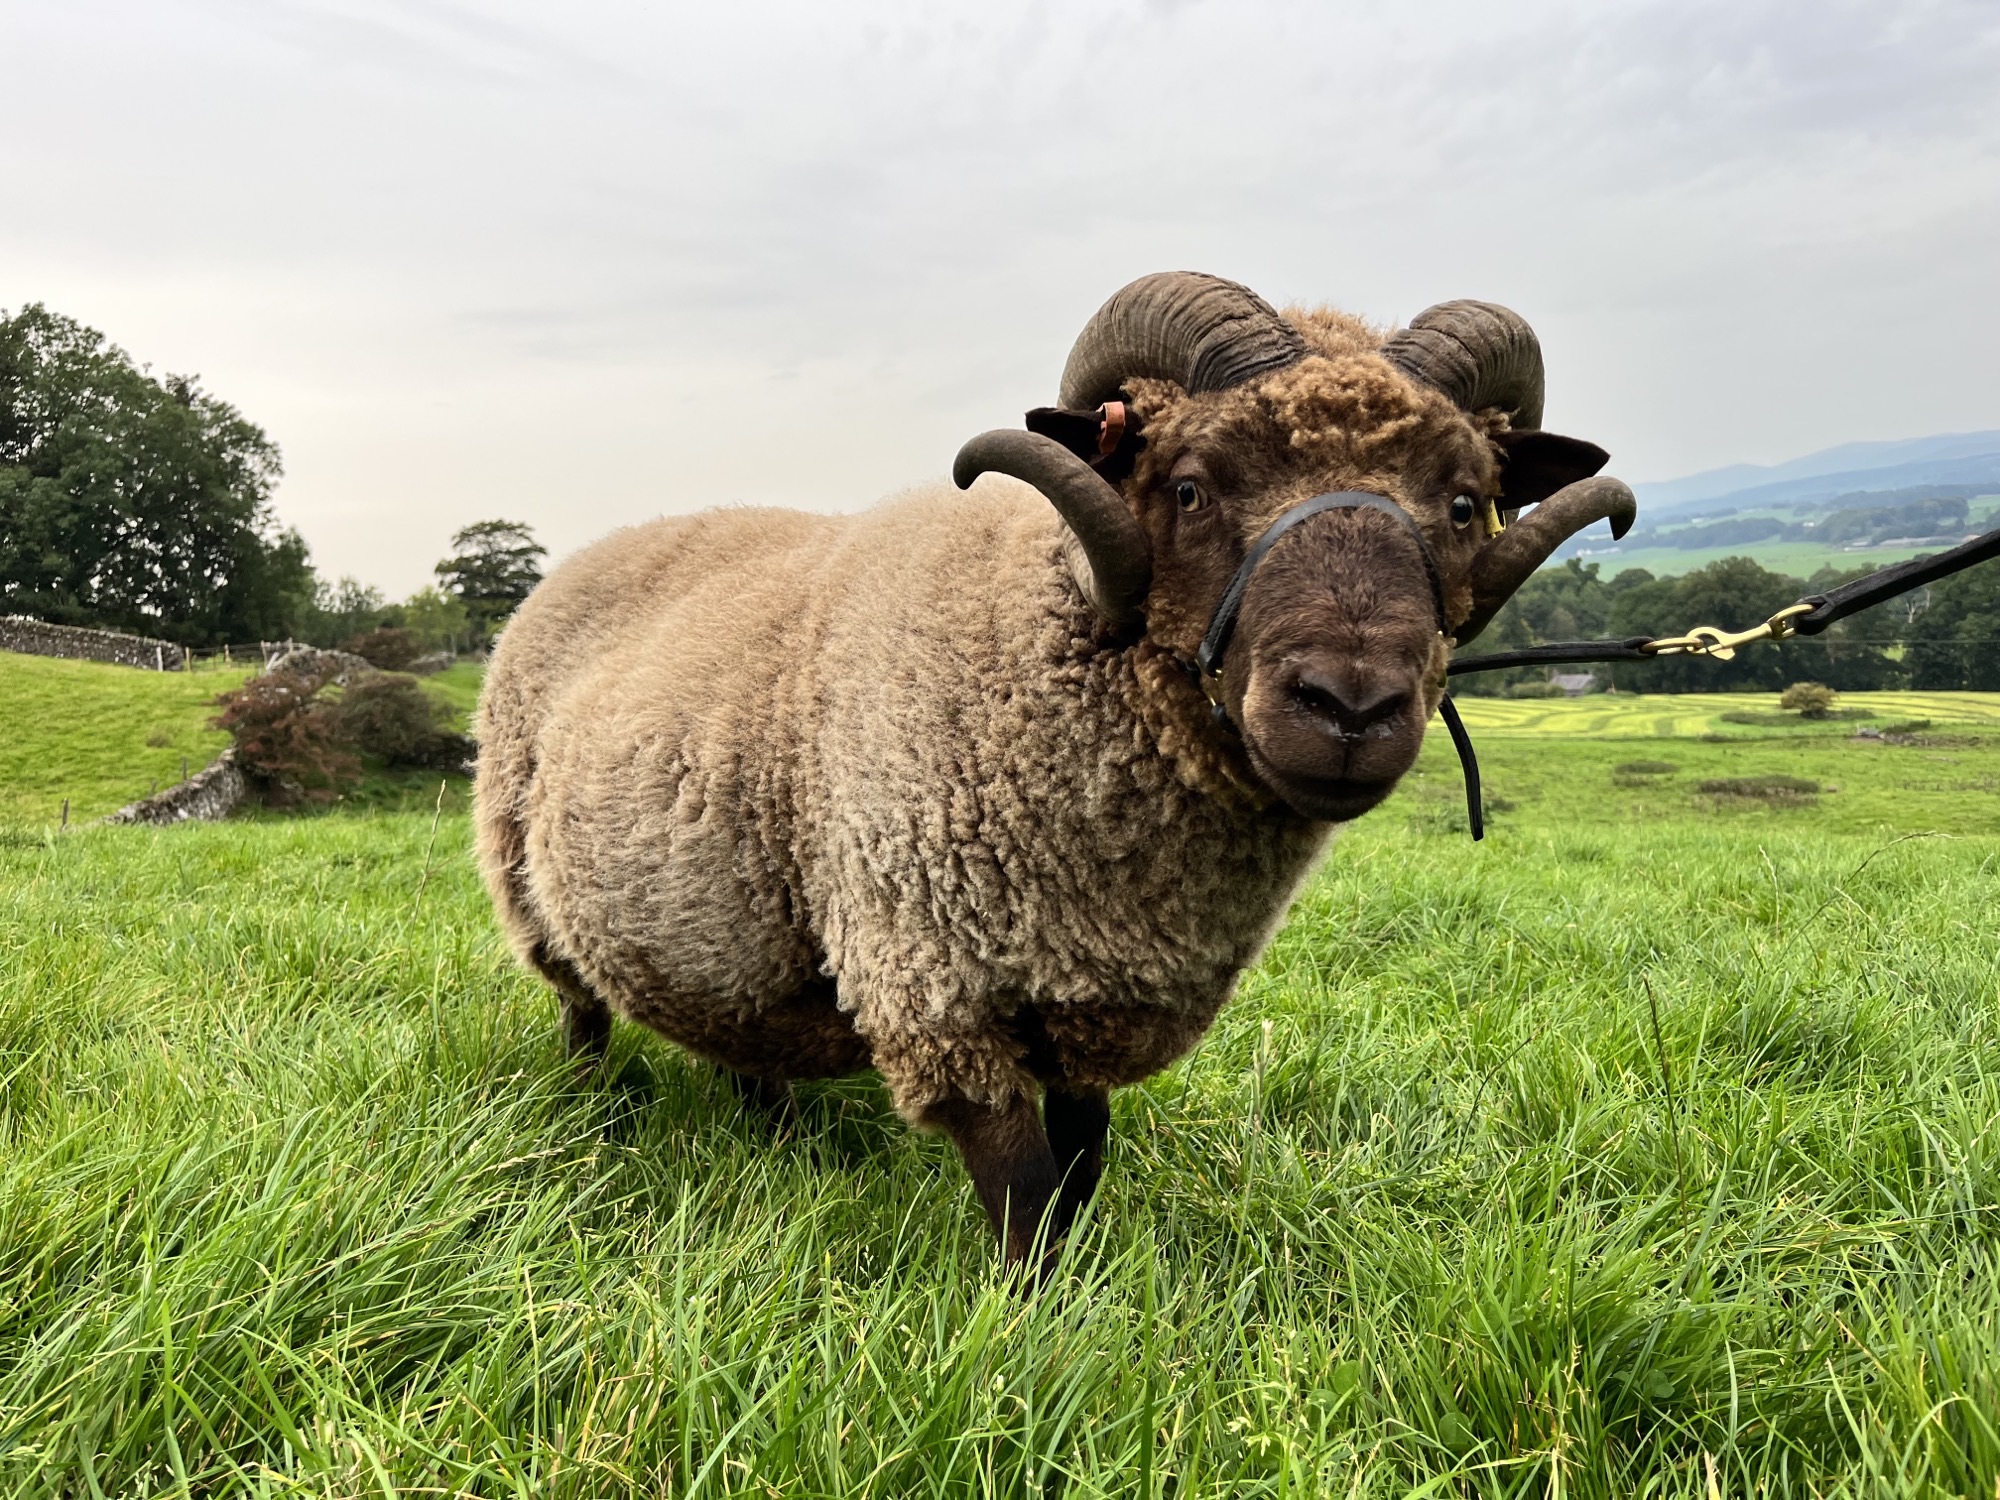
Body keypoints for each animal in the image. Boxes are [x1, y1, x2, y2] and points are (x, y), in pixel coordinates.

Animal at [474, 272, 1636, 1269]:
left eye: (1463, 503)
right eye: (1188, 488)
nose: (1349, 708)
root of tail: (589, 553)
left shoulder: (1096, 999)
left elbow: (1082, 1164)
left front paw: (1080, 1291)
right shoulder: (933, 987)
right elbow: (1024, 1191)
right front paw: (1028, 1324)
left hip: (723, 927)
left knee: (735, 1033)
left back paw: (775, 1142)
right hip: (530, 886)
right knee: (581, 1013)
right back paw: (589, 1120)